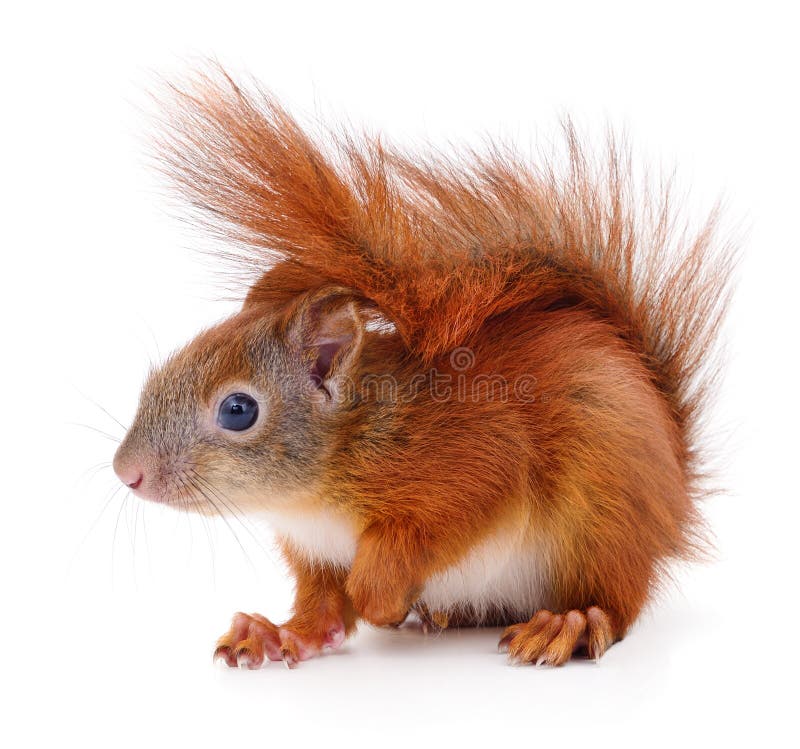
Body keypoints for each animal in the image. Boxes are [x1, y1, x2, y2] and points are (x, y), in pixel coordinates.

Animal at [112, 68, 733, 668]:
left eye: (238, 410)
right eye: (157, 376)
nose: (127, 472)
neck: (317, 487)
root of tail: (674, 489)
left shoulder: (471, 462)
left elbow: (435, 526)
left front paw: (382, 598)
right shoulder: (317, 553)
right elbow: (324, 611)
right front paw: (276, 634)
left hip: (603, 515)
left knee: (615, 600)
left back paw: (567, 622)